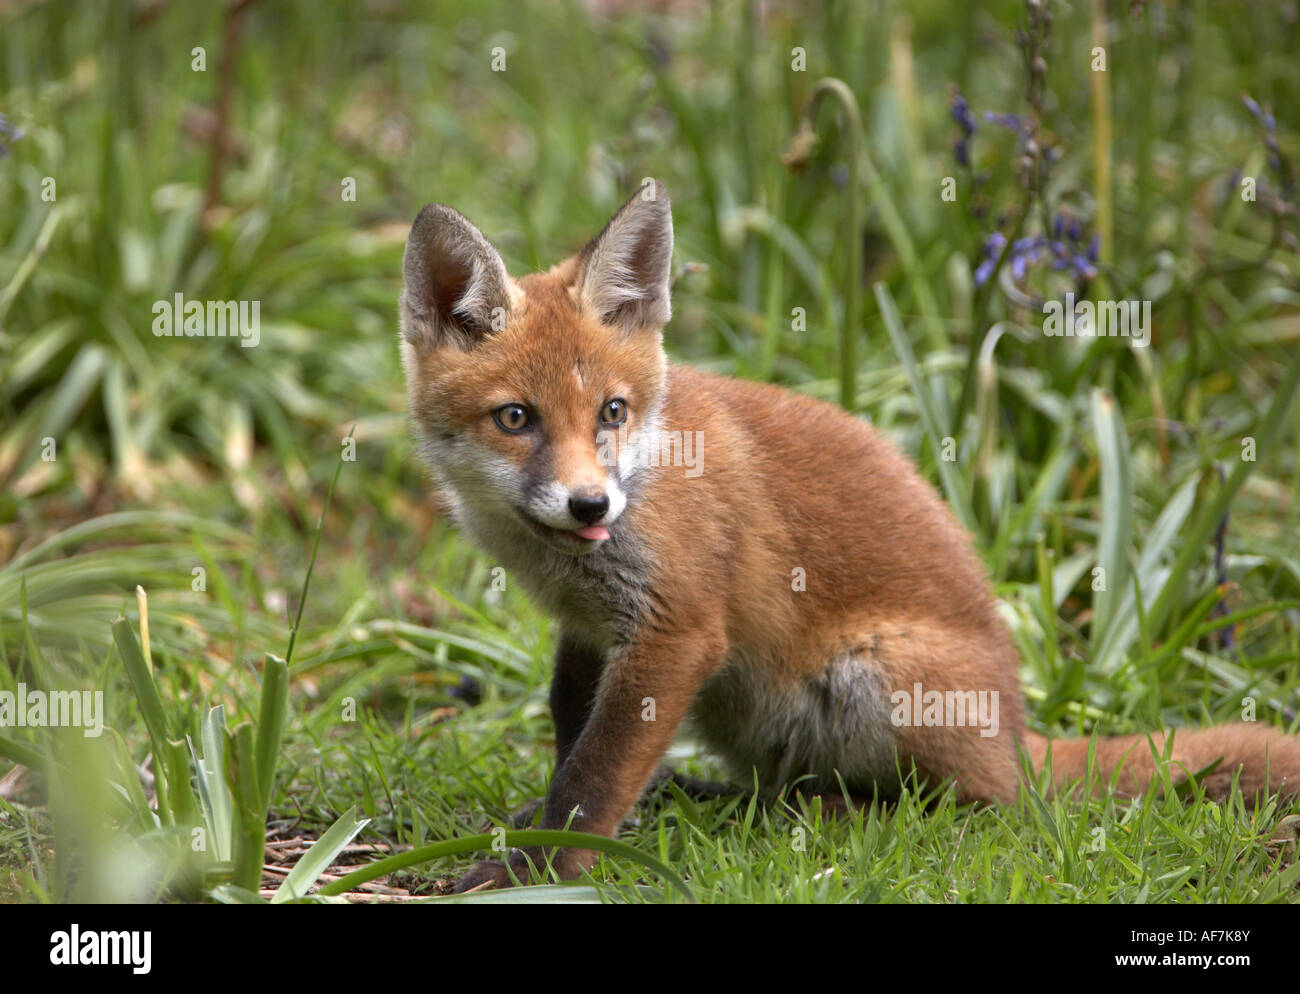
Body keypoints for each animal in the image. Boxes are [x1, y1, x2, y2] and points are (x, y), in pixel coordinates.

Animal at [397, 182, 1300, 892]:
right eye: (517, 418)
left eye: (611, 411)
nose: (591, 507)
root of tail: (1016, 726)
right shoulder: (589, 630)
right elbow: (570, 737)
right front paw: (546, 828)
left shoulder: (675, 631)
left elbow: (597, 769)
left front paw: (542, 867)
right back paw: (711, 797)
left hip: (874, 678)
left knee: (985, 808)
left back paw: (831, 811)